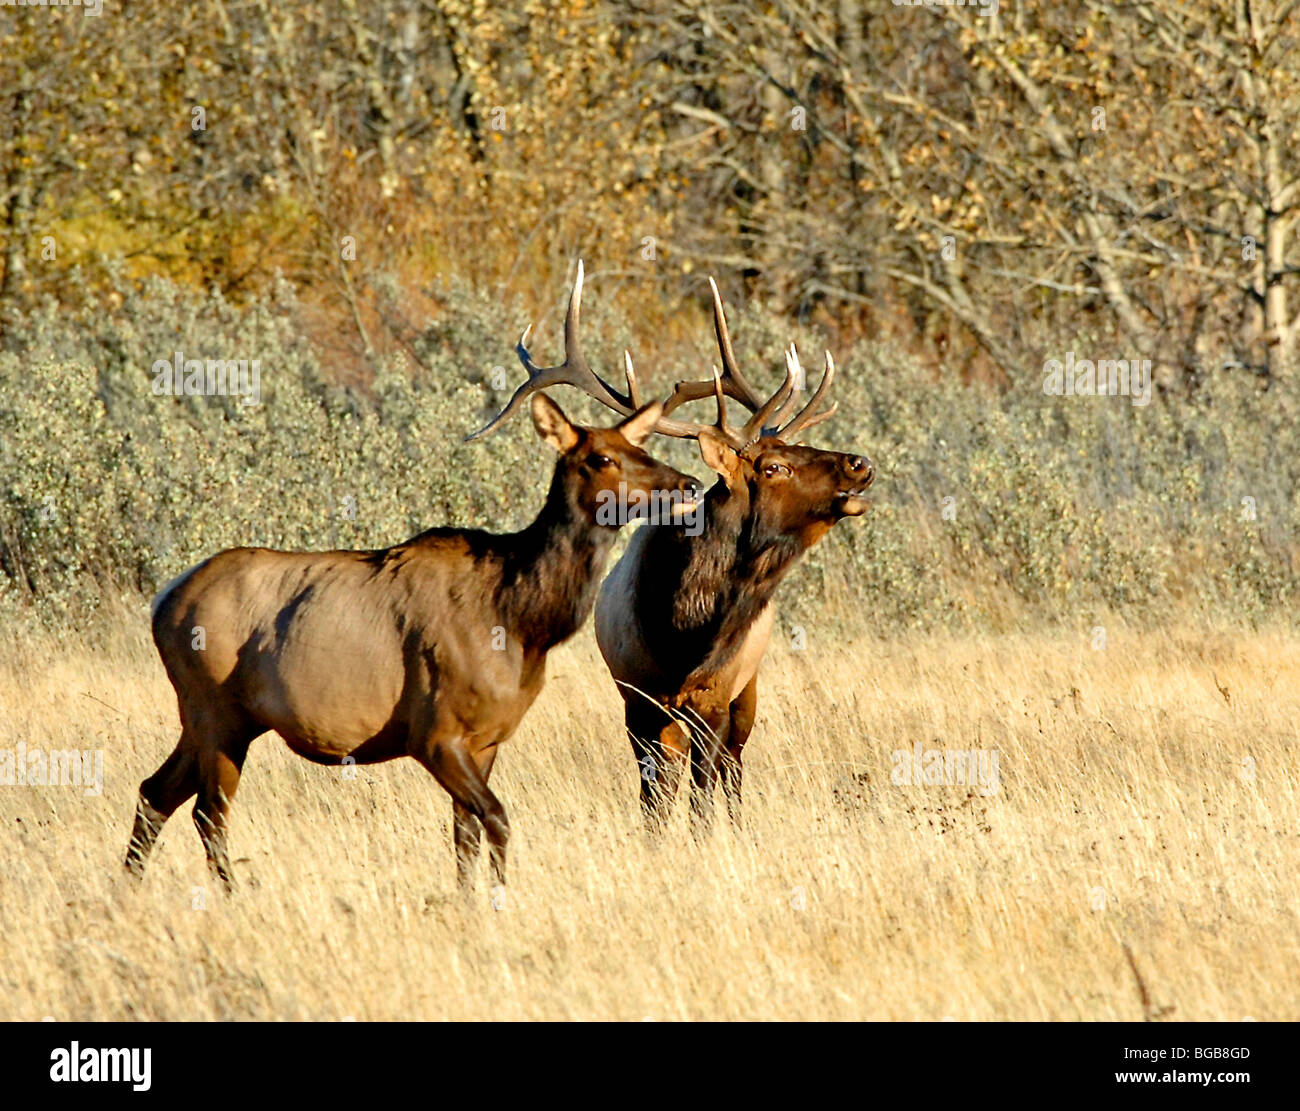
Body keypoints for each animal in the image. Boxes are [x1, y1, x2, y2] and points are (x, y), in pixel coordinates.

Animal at [123, 264, 700, 895]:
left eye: (639, 444)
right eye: (601, 457)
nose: (689, 483)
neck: (521, 622)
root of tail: (162, 602)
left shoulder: (488, 737)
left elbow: (464, 836)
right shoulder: (433, 730)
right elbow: (498, 819)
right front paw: (499, 898)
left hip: (215, 718)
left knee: (155, 792)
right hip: (214, 709)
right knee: (207, 812)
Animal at [472, 273, 875, 835]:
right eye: (774, 467)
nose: (859, 463)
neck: (683, 633)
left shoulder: (715, 697)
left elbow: (703, 796)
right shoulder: (637, 700)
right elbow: (653, 800)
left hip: (747, 689)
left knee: (733, 768)